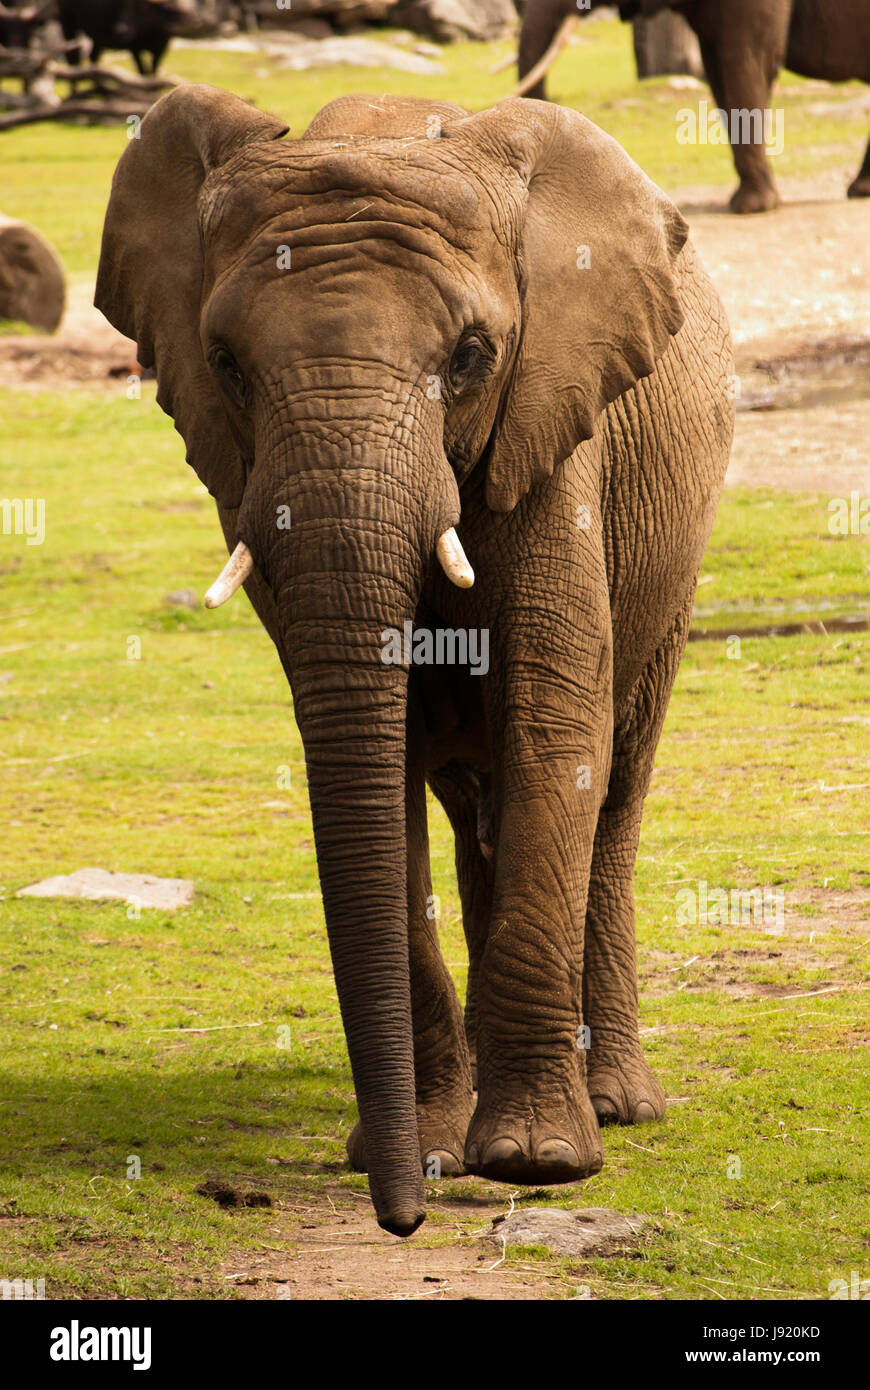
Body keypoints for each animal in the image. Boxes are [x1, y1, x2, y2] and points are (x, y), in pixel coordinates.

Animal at [95, 84, 734, 1235]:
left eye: (473, 356)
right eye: (224, 365)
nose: (402, 1216)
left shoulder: (557, 432)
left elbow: (553, 730)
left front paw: (534, 1163)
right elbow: (373, 764)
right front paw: (434, 1150)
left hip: (678, 556)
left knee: (613, 791)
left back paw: (616, 1104)